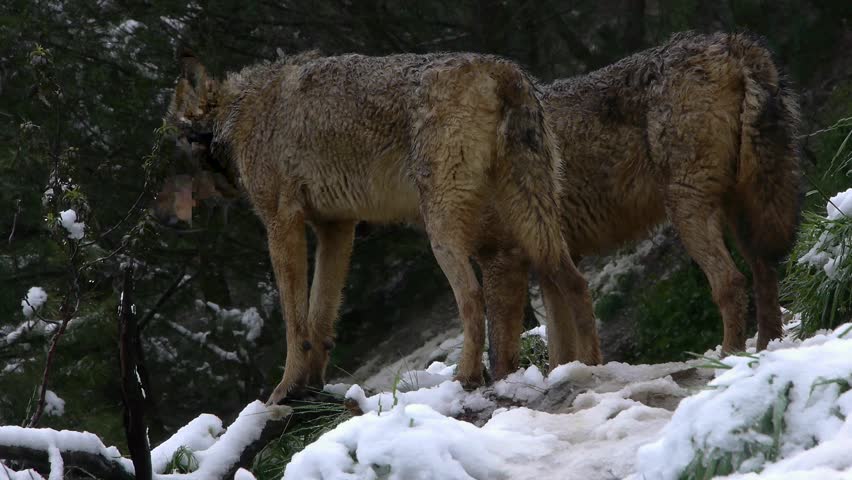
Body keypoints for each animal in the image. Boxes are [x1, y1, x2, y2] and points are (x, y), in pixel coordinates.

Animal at [165, 50, 601, 405]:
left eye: (177, 142)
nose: (170, 216)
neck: (239, 113)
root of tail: (501, 69)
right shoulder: (337, 228)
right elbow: (321, 317)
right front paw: (311, 385)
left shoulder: (282, 223)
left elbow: (294, 322)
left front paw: (285, 390)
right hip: (531, 221)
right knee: (574, 282)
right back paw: (591, 369)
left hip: (442, 231)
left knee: (472, 298)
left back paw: (466, 378)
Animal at [484, 32, 802, 378]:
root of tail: (730, 44)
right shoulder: (550, 264)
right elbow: (559, 345)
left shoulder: (509, 263)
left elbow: (512, 344)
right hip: (744, 211)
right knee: (764, 272)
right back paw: (765, 349)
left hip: (687, 209)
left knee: (730, 281)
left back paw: (728, 357)